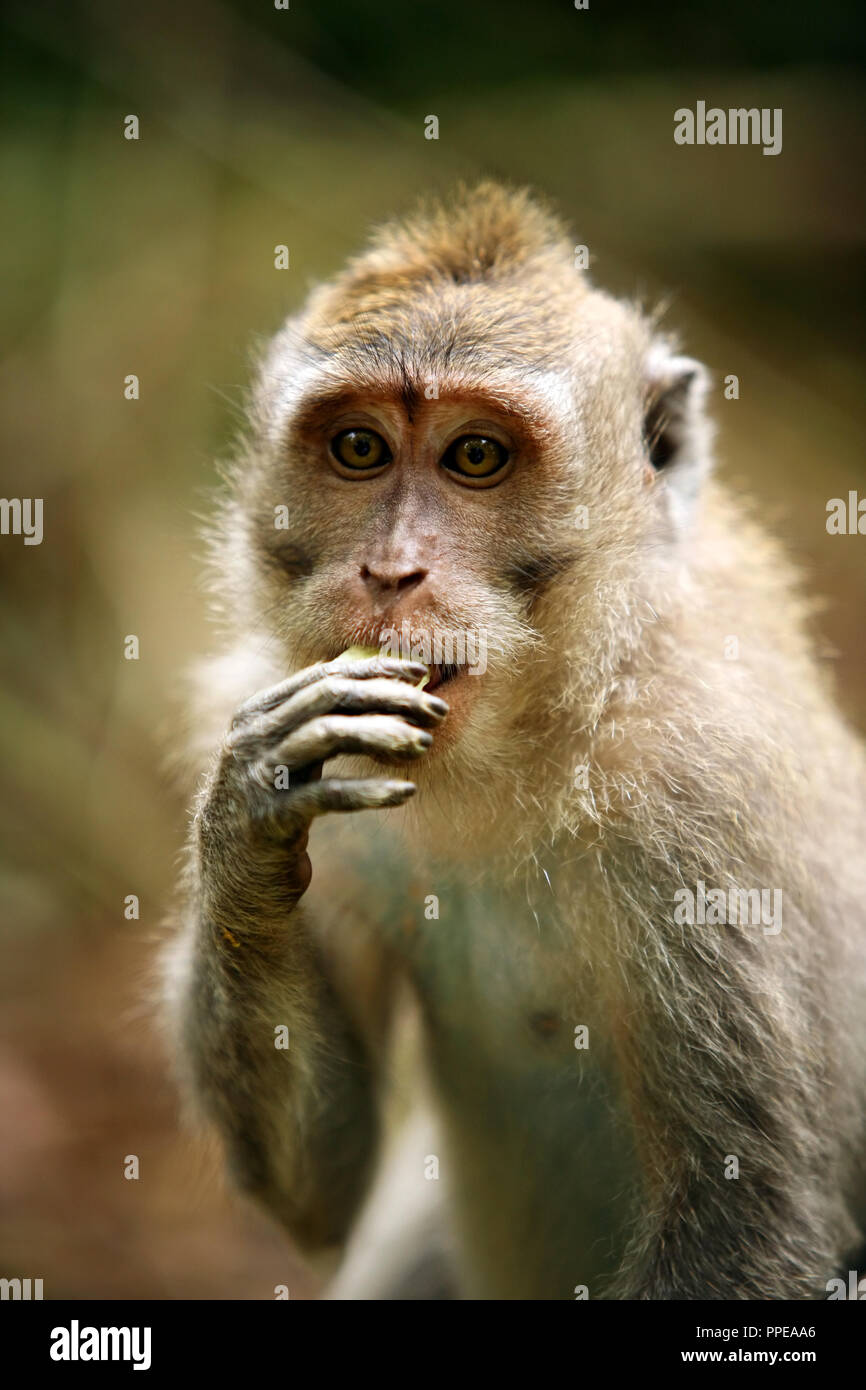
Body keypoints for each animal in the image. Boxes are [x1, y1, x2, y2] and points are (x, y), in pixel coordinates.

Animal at [164, 182, 866, 1300]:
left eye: (476, 456)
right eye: (358, 449)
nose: (390, 572)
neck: (544, 735)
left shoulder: (709, 806)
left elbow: (750, 1210)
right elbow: (324, 1186)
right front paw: (250, 820)